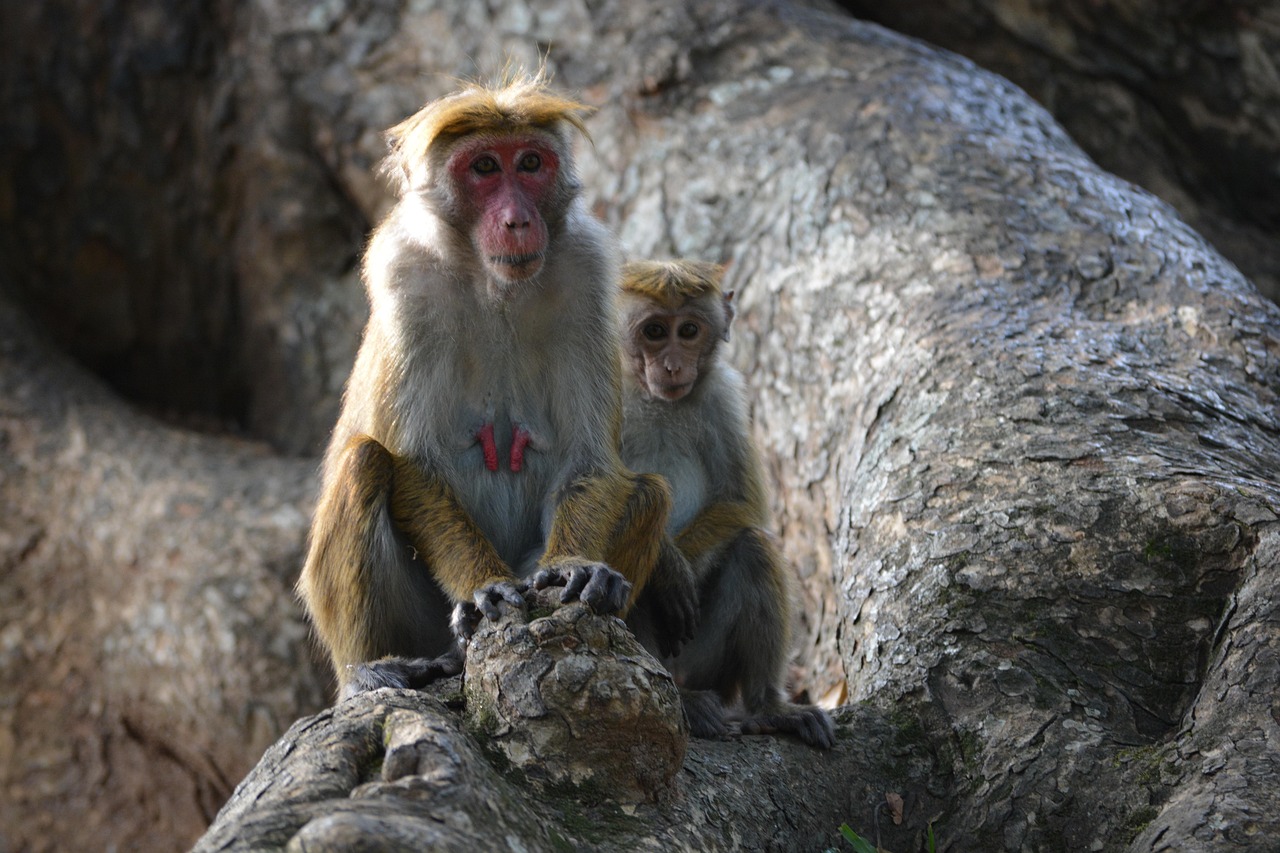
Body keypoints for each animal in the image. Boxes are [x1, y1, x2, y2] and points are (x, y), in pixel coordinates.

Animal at [297, 72, 697, 700]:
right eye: (484, 167)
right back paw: (372, 669)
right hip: (417, 624)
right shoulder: (405, 278)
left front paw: (579, 567)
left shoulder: (587, 272)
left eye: (530, 164)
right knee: (365, 461)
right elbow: (416, 463)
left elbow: (589, 459)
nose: (517, 220)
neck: (495, 283)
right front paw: (483, 586)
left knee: (650, 490)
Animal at [618, 259, 835, 749]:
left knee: (753, 547)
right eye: (654, 331)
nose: (673, 364)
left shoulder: (722, 395)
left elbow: (744, 503)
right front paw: (667, 565)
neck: (653, 400)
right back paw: (685, 702)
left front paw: (675, 568)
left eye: (689, 331)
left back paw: (768, 707)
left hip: (708, 662)